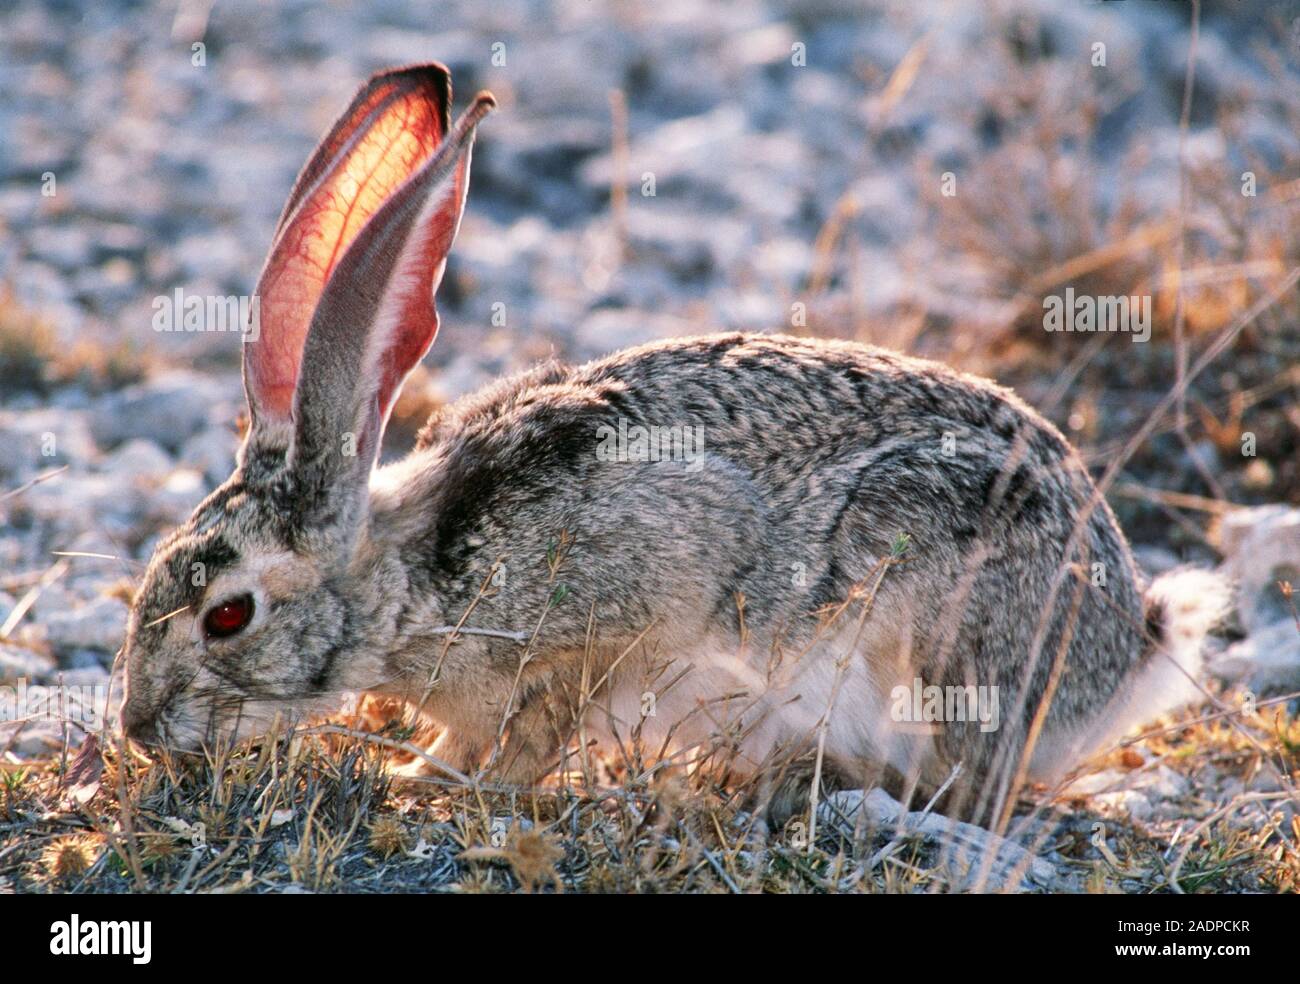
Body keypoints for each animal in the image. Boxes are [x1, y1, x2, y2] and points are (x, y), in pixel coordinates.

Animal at [119, 63, 1228, 826]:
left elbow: (534, 734)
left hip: (927, 615)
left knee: (964, 784)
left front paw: (435, 783)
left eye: (228, 616)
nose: (135, 725)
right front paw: (419, 765)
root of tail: (1124, 645)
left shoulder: (606, 630)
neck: (422, 575)